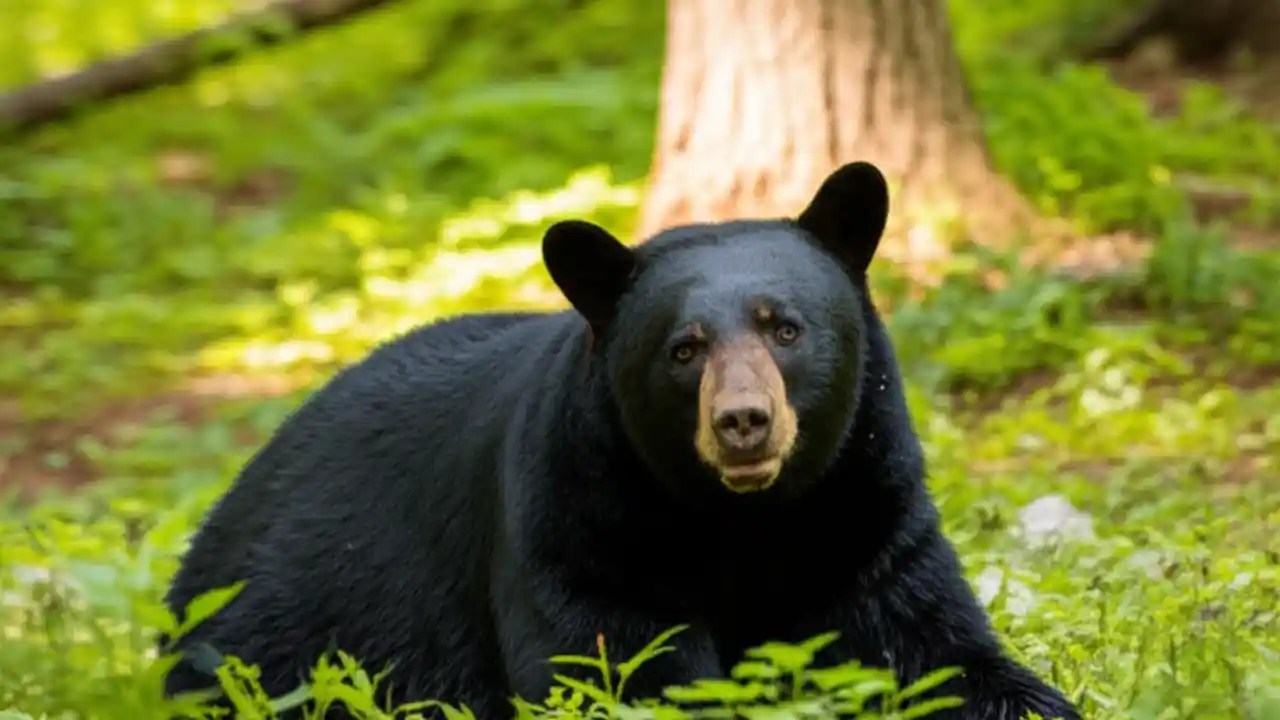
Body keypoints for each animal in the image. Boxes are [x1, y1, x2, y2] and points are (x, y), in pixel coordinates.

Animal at [160, 161, 1080, 720]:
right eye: (684, 348)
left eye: (784, 327)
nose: (743, 420)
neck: (749, 525)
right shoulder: (583, 531)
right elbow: (620, 671)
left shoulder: (867, 516)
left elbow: (939, 651)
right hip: (273, 636)